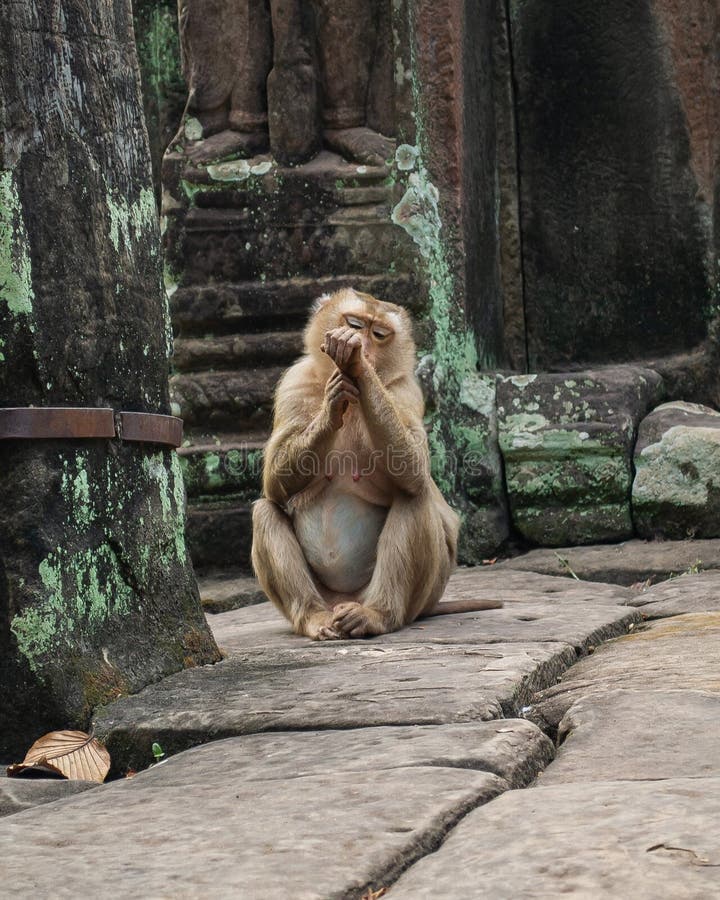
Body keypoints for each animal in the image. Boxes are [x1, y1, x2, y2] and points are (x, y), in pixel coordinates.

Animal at [251, 288, 502, 640]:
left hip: (419, 594)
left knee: (414, 497)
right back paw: (313, 617)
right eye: (355, 323)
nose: (363, 345)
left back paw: (376, 616)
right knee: (265, 511)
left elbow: (413, 470)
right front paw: (333, 402)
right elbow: (274, 483)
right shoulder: (294, 382)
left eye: (379, 334)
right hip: (327, 598)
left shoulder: (406, 390)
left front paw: (358, 367)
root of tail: (345, 601)